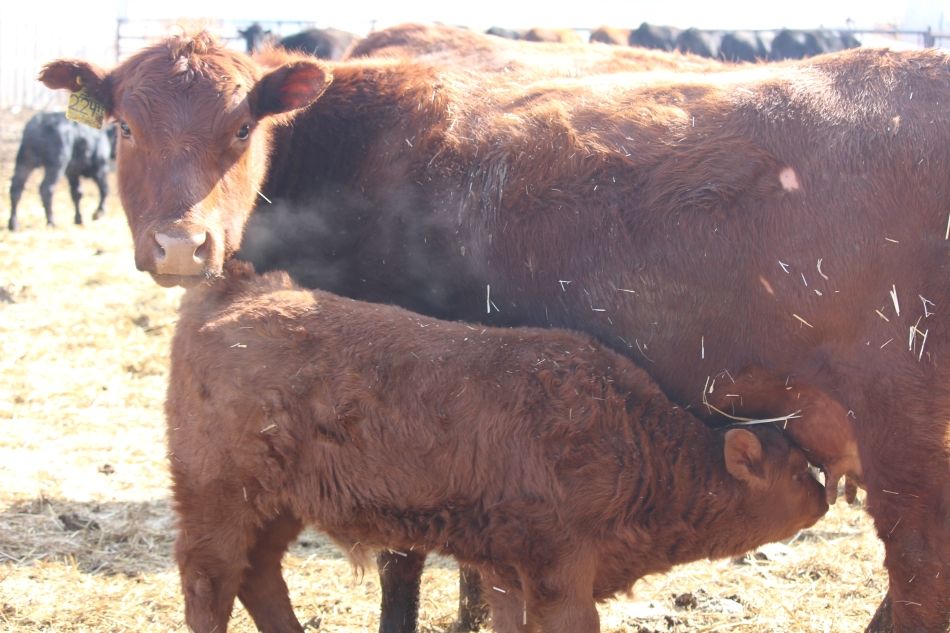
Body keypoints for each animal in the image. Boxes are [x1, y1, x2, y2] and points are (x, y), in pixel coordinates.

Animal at [169, 259, 829, 633]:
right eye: (799, 469)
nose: (825, 495)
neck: (632, 441)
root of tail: (237, 290)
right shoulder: (559, 575)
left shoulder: (507, 569)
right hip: (215, 500)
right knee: (210, 584)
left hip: (275, 508)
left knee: (258, 576)